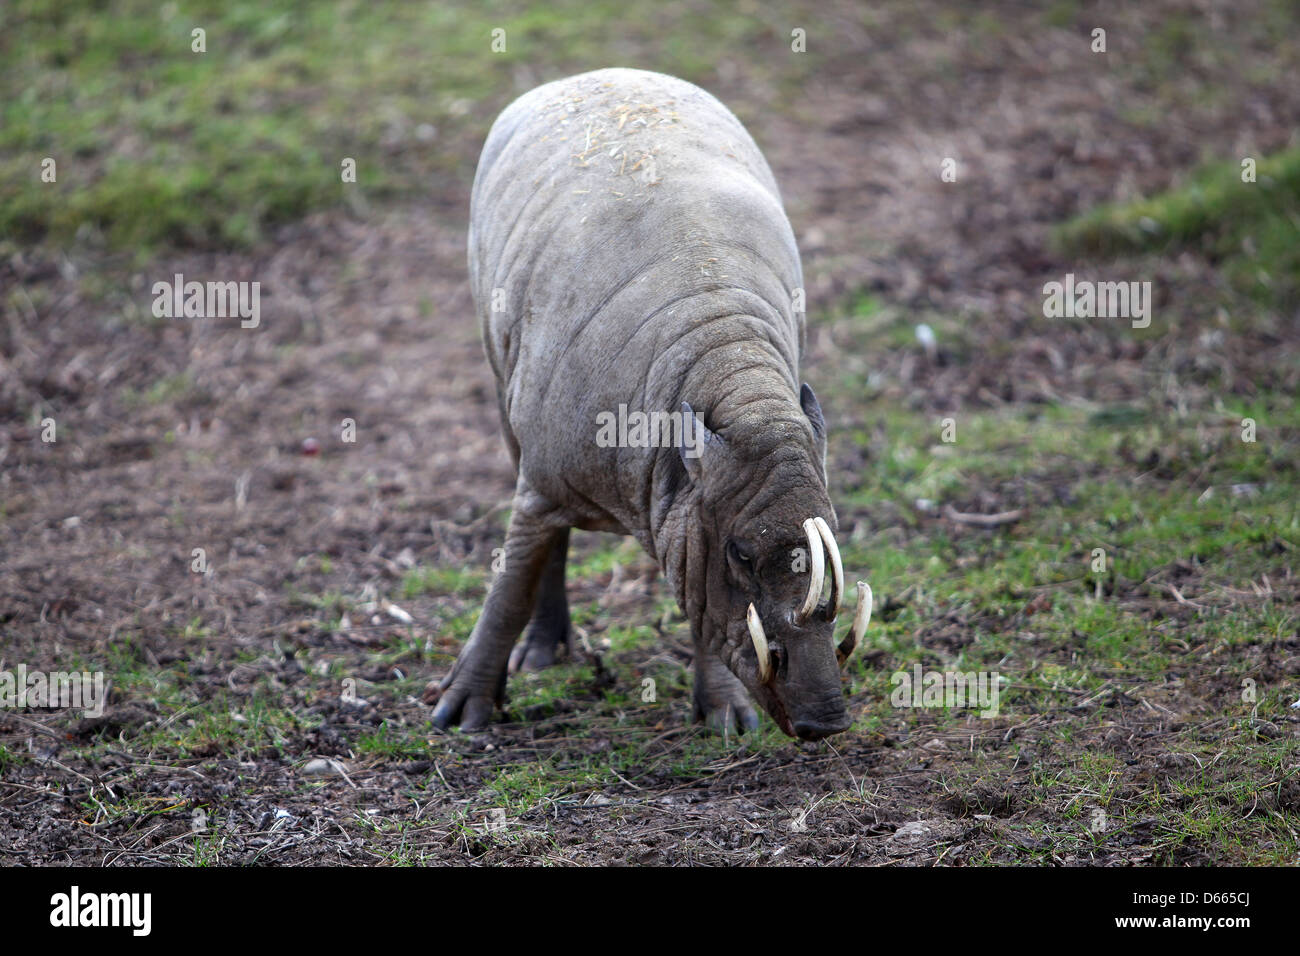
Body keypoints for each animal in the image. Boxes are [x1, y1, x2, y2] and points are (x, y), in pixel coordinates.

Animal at [429, 68, 871, 740]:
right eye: (742, 552)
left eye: (829, 547)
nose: (826, 721)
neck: (729, 376)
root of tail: (586, 73)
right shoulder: (546, 477)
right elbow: (511, 583)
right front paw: (461, 711)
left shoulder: (690, 522)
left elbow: (701, 601)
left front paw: (727, 715)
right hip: (501, 381)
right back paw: (544, 652)